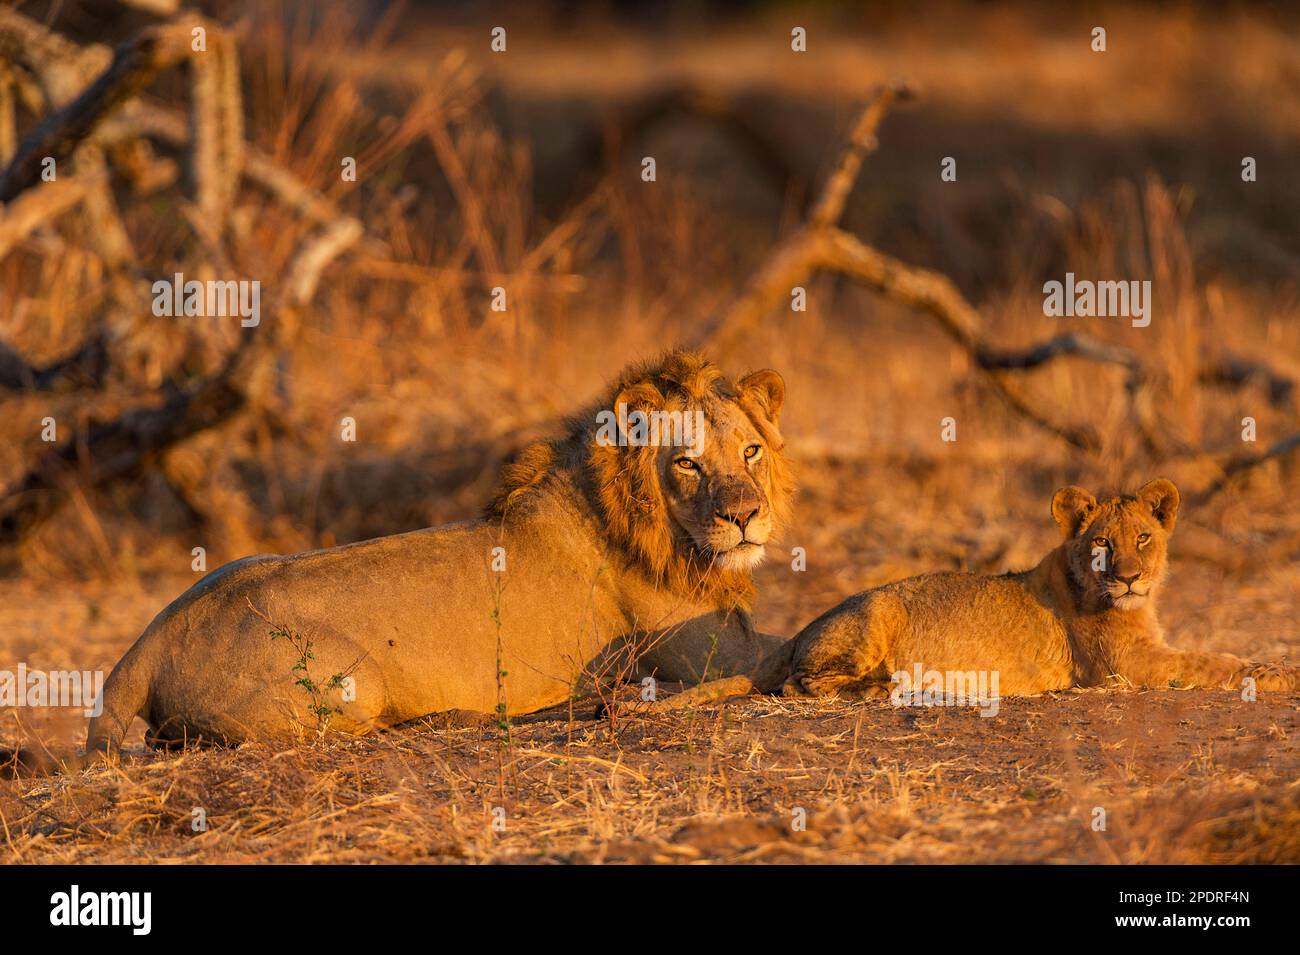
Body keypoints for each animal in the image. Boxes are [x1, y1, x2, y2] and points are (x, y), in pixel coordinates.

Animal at [2, 350, 794, 775]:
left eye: (751, 450)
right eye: (687, 463)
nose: (744, 515)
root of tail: (150, 638)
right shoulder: (703, 647)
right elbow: (780, 650)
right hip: (353, 682)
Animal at [660, 478, 1298, 707]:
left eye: (1144, 537)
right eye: (1102, 543)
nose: (1129, 577)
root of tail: (795, 633)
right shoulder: (1128, 666)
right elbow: (1214, 661)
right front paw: (1279, 673)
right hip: (874, 615)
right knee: (801, 683)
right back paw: (888, 686)